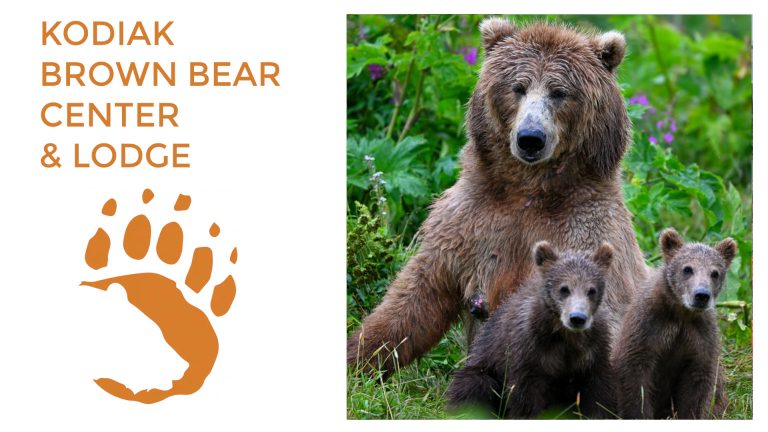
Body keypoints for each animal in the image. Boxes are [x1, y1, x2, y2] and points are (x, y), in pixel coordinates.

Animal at [348, 18, 649, 377]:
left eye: (559, 92)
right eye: (518, 87)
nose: (530, 138)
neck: (530, 189)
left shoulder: (585, 230)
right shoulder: (471, 221)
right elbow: (415, 299)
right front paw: (358, 356)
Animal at [446, 241, 617, 418]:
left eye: (591, 290)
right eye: (564, 289)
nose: (577, 318)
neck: (565, 336)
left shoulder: (592, 351)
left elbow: (597, 393)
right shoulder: (529, 350)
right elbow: (526, 395)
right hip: (483, 365)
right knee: (475, 384)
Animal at [612, 228, 737, 419]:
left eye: (715, 273)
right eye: (688, 269)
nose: (701, 295)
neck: (681, 313)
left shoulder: (700, 335)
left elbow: (696, 387)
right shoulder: (649, 327)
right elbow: (635, 377)